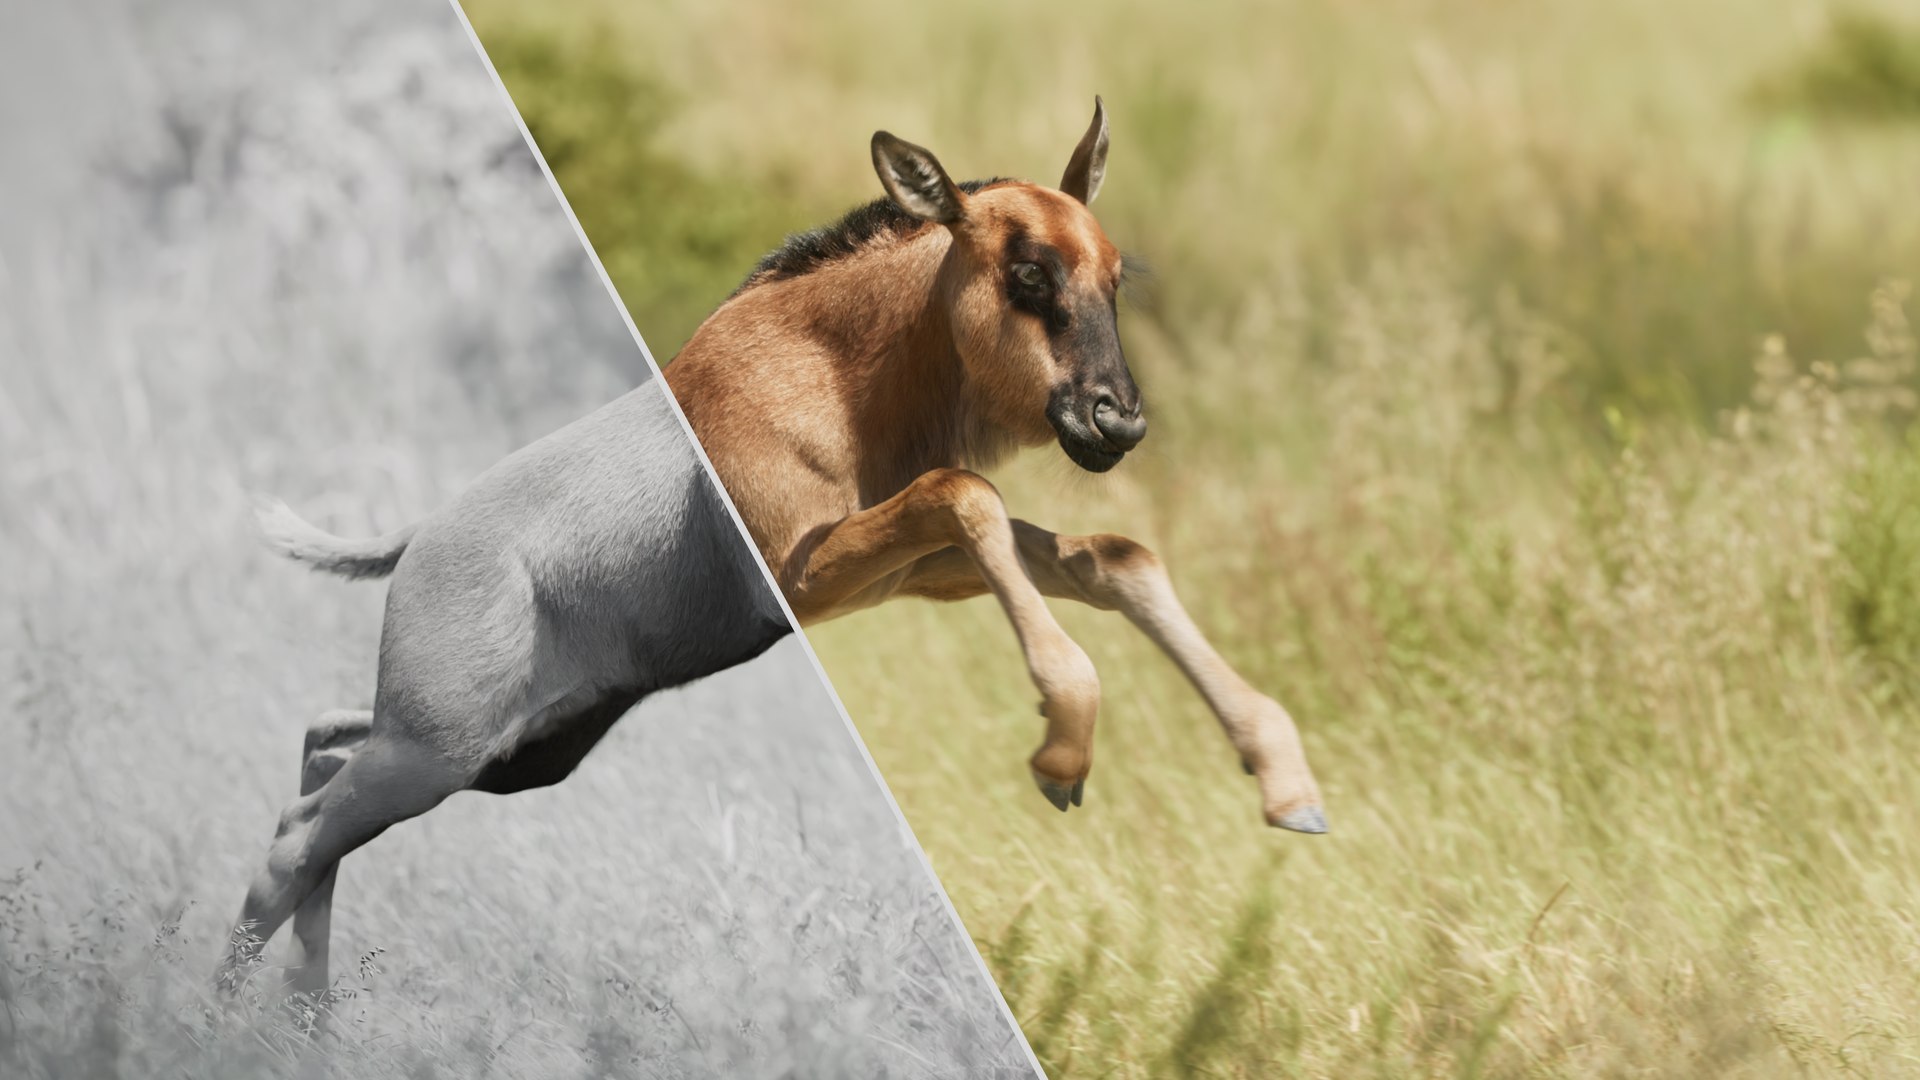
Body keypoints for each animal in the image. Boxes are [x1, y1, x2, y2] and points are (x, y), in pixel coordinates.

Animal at [216, 379, 791, 997]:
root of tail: (422, 529)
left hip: (514, 750)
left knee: (323, 753)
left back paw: (305, 1011)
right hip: (435, 754)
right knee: (296, 838)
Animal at [664, 99, 1327, 833]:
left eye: (1116, 274)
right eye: (1030, 271)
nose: (1118, 420)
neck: (830, 377)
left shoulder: (913, 569)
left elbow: (1113, 556)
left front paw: (1286, 779)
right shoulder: (799, 571)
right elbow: (966, 491)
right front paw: (1062, 752)